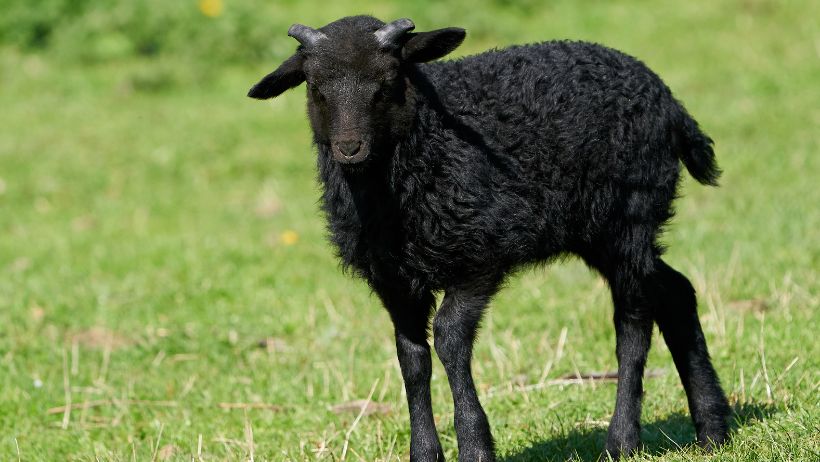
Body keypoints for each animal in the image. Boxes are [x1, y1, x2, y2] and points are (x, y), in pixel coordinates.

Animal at [247, 16, 731, 461]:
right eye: (315, 88)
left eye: (387, 82)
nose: (349, 148)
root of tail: (671, 104)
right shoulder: (393, 278)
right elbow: (411, 357)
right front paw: (424, 453)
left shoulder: (478, 256)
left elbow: (448, 339)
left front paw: (476, 445)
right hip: (600, 233)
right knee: (675, 290)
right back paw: (712, 429)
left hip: (629, 218)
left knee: (633, 321)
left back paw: (623, 441)